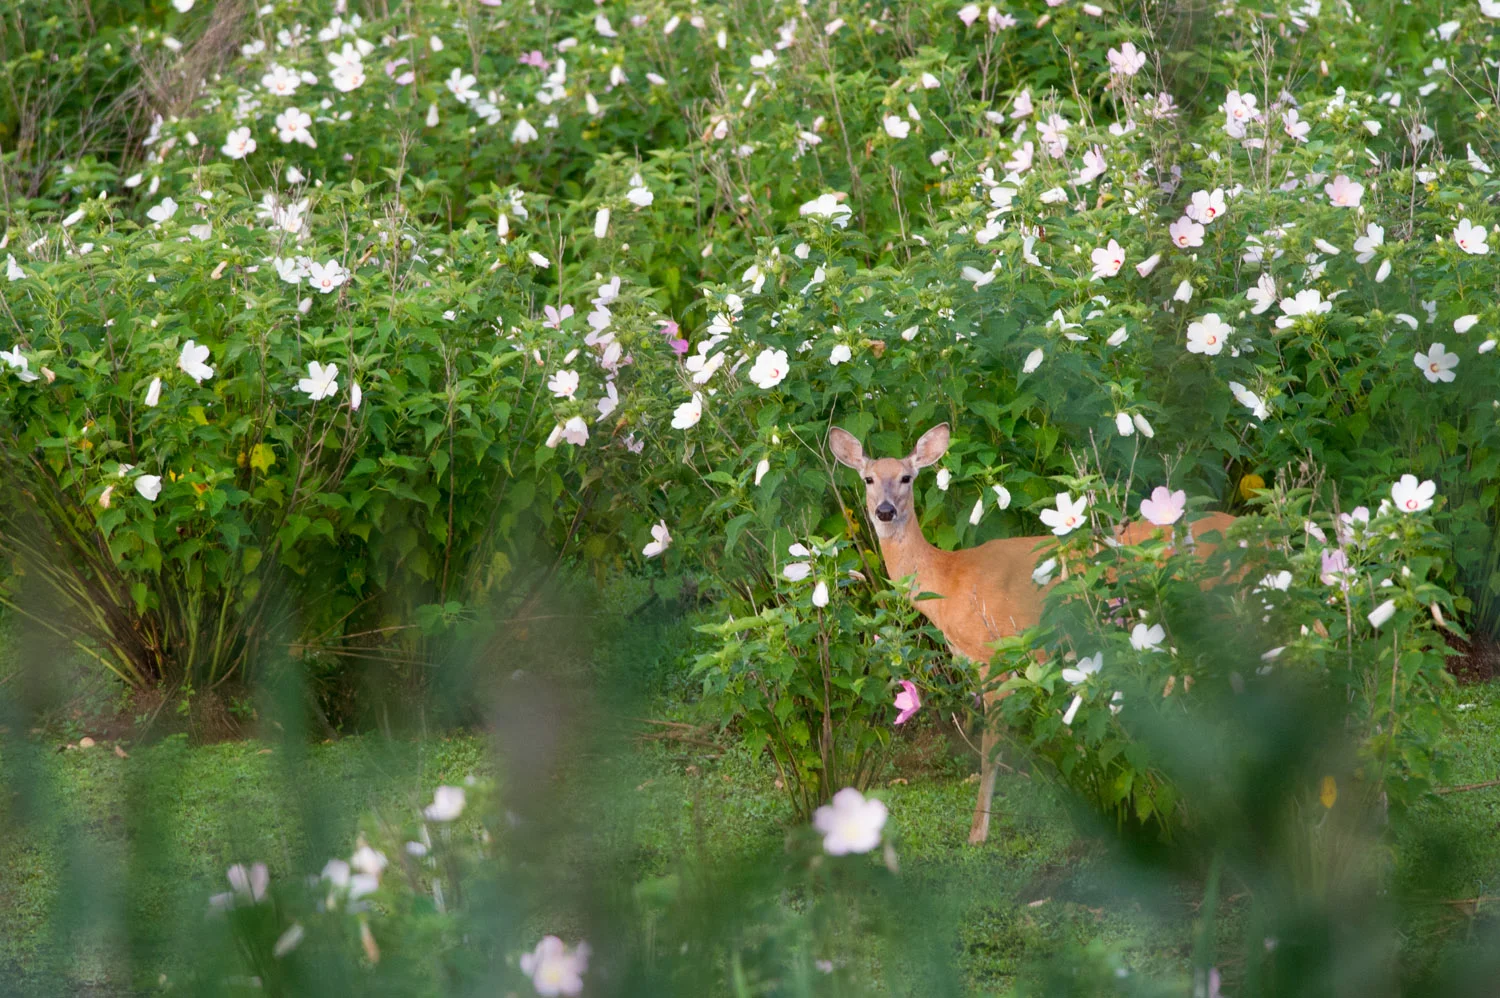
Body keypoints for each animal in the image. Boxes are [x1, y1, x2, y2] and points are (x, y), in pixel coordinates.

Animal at [828, 422, 1236, 845]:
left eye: (906, 477)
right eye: (868, 478)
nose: (885, 511)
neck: (948, 582)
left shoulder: (994, 656)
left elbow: (991, 749)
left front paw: (978, 832)